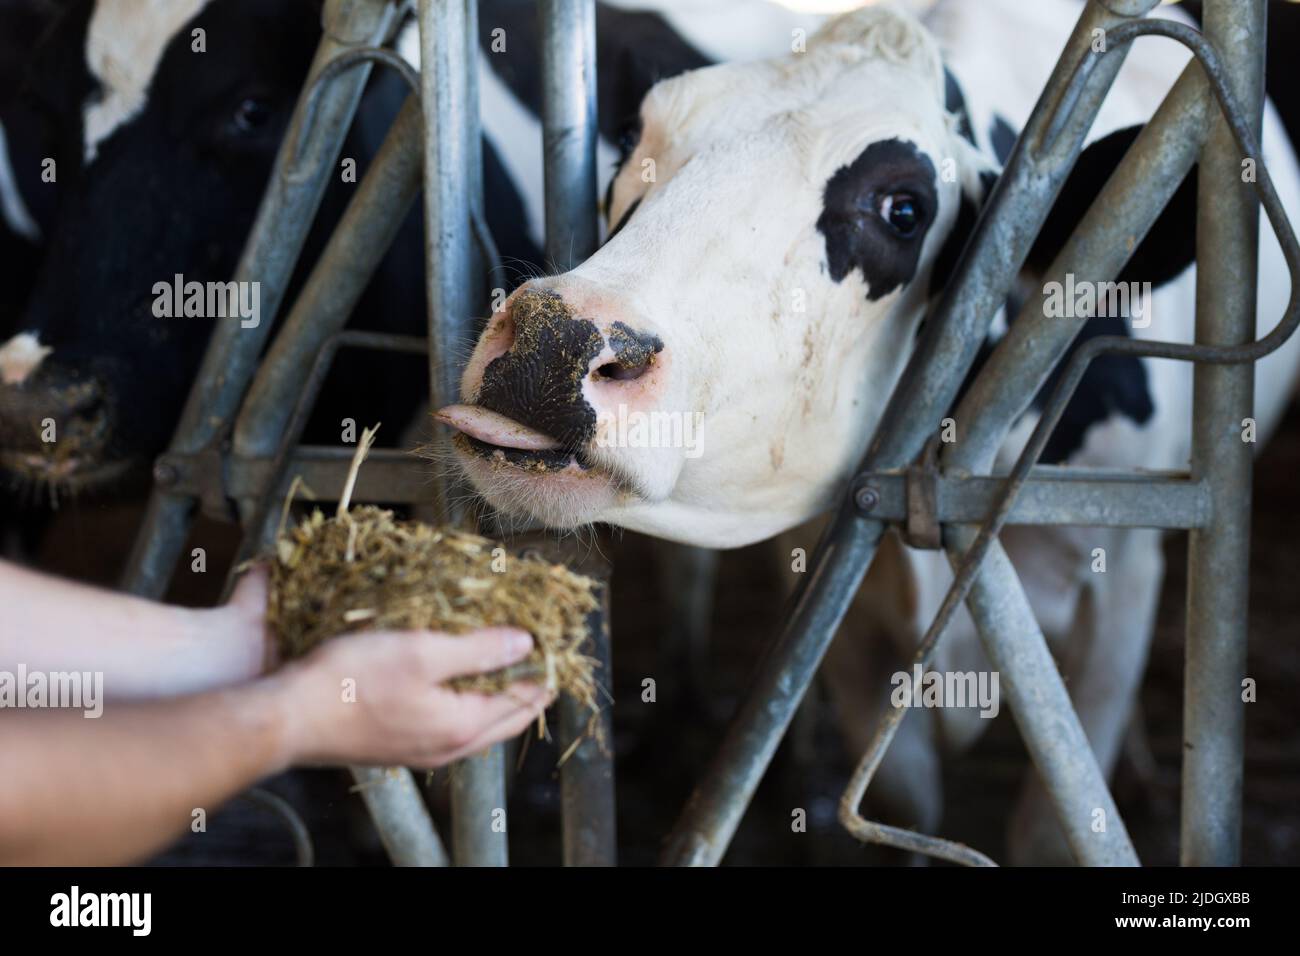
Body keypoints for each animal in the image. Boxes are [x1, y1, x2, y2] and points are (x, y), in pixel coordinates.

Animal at [438, 0, 1300, 862]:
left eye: (905, 209)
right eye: (630, 150)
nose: (551, 343)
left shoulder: (1121, 580)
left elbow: (1052, 823)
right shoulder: (849, 612)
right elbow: (904, 796)